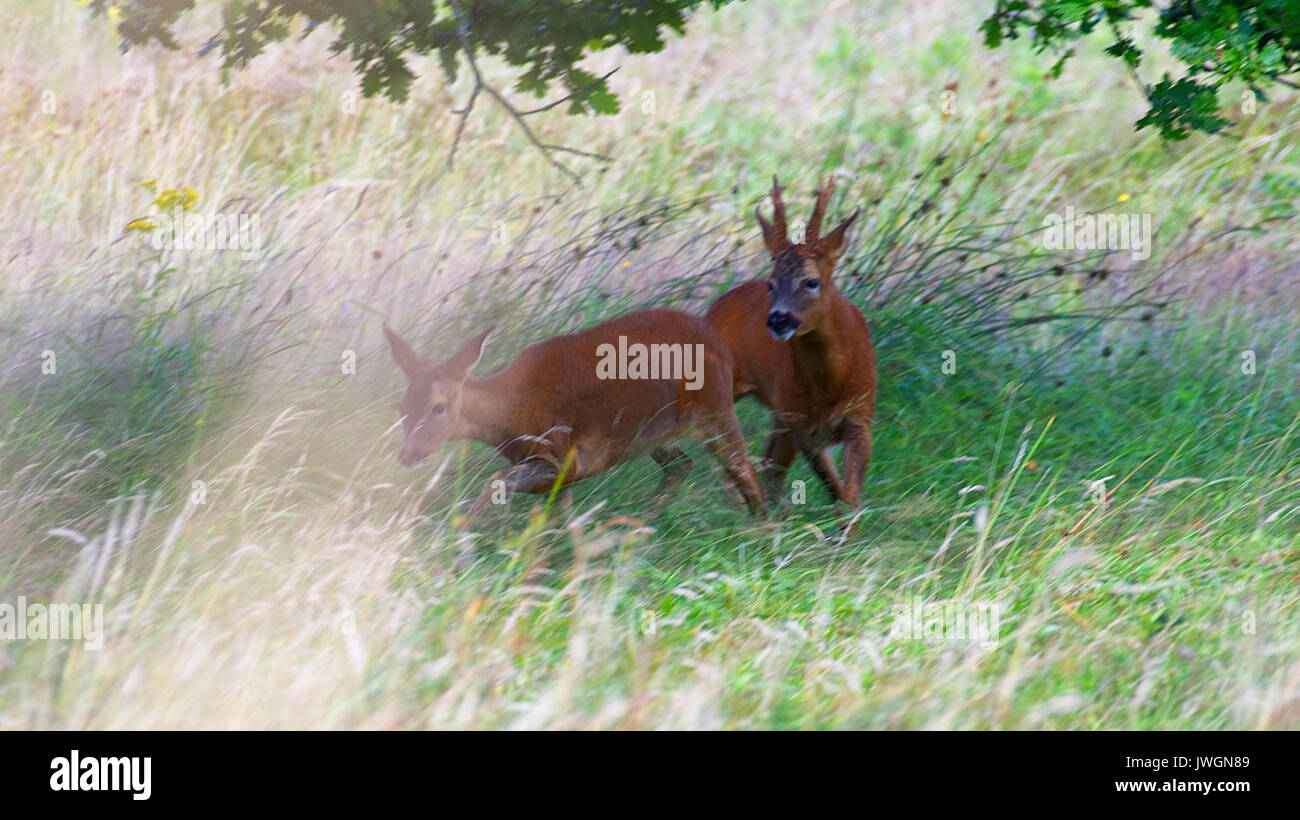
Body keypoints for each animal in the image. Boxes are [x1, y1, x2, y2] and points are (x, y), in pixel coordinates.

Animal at [383, 308, 766, 525]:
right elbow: (557, 515)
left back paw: (762, 532)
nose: (407, 454)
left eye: (438, 406)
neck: (511, 411)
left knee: (744, 467)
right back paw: (640, 525)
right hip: (648, 432)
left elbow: (498, 480)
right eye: (401, 407)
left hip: (714, 406)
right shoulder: (558, 470)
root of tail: (718, 339)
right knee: (681, 464)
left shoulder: (563, 455)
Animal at [706, 177, 877, 514]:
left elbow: (847, 495)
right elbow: (833, 486)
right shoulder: (803, 427)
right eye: (771, 284)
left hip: (779, 414)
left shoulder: (860, 416)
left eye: (812, 281)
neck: (830, 388)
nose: (778, 319)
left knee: (768, 466)